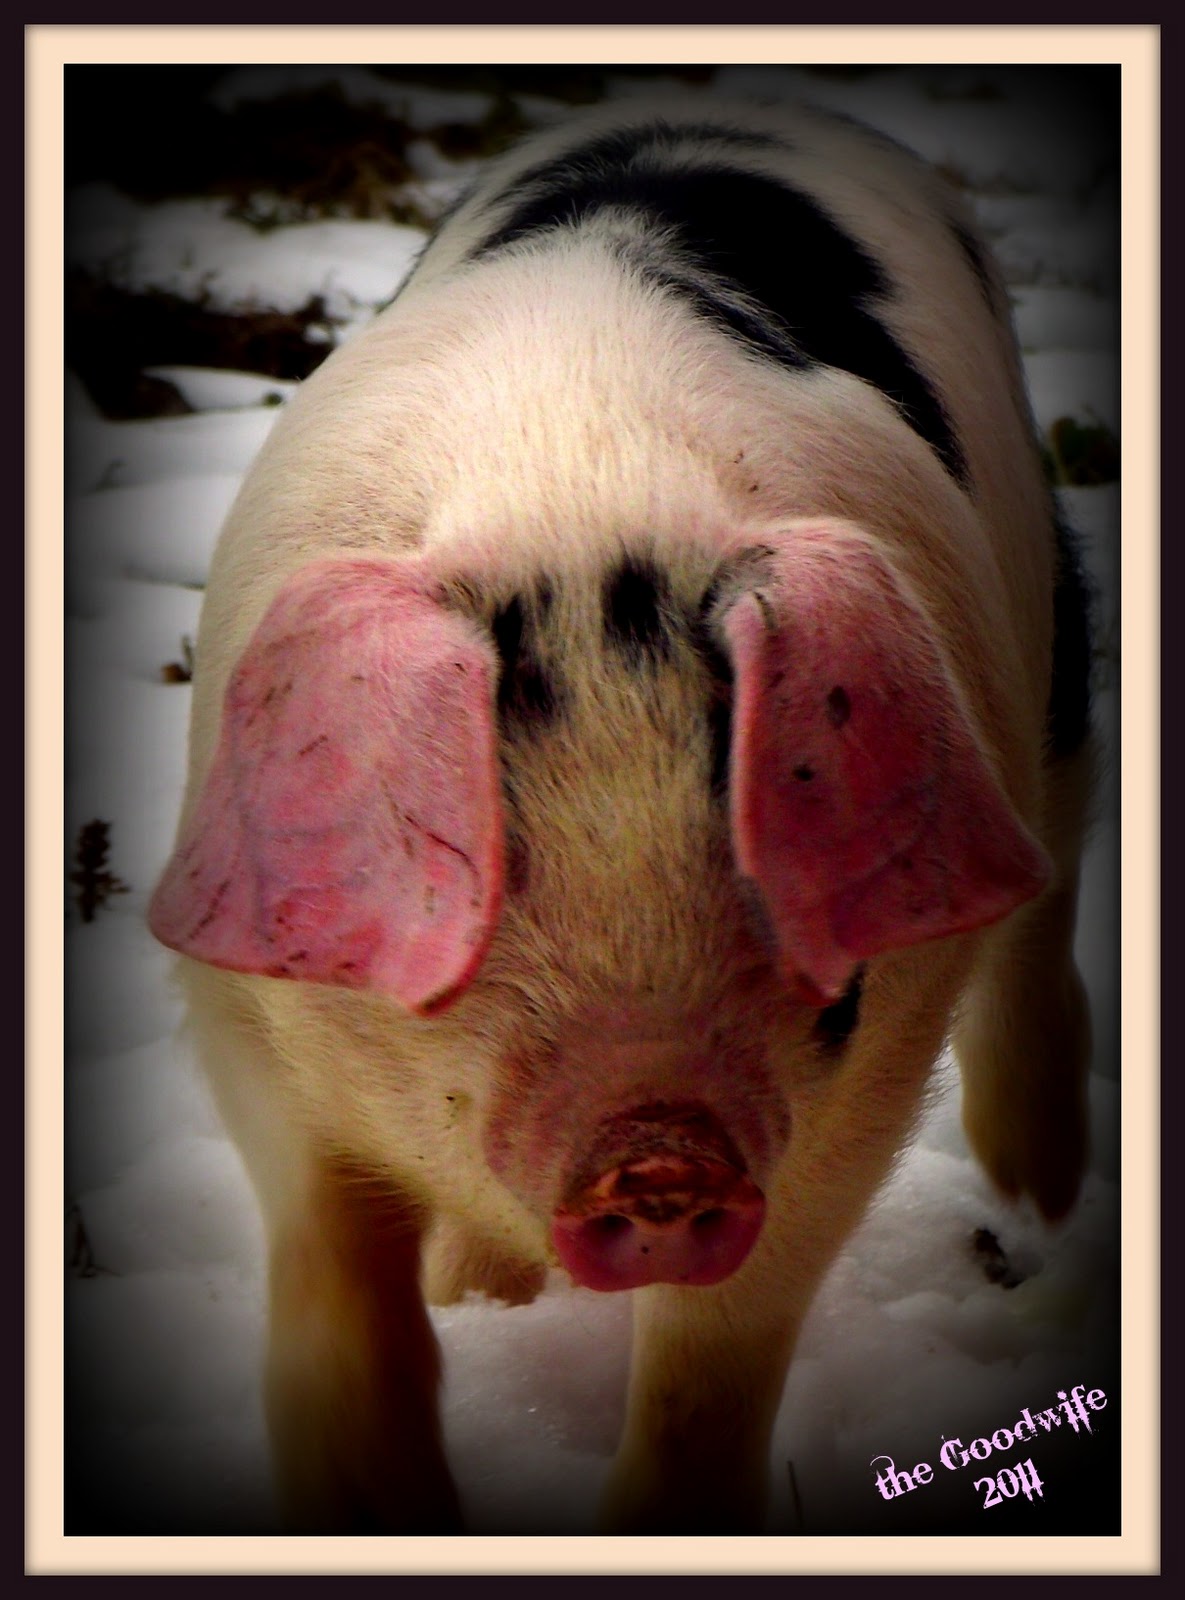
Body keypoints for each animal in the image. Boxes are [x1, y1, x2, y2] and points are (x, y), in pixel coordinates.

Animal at [148, 97, 1094, 1534]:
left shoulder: (869, 1074)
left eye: (827, 982)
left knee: (1046, 892)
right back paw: (482, 1289)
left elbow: (719, 1350)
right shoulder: (251, 1022)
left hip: (1049, 666)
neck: (573, 491)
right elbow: (336, 1290)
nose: (658, 1155)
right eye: (470, 911)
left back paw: (1041, 1195)